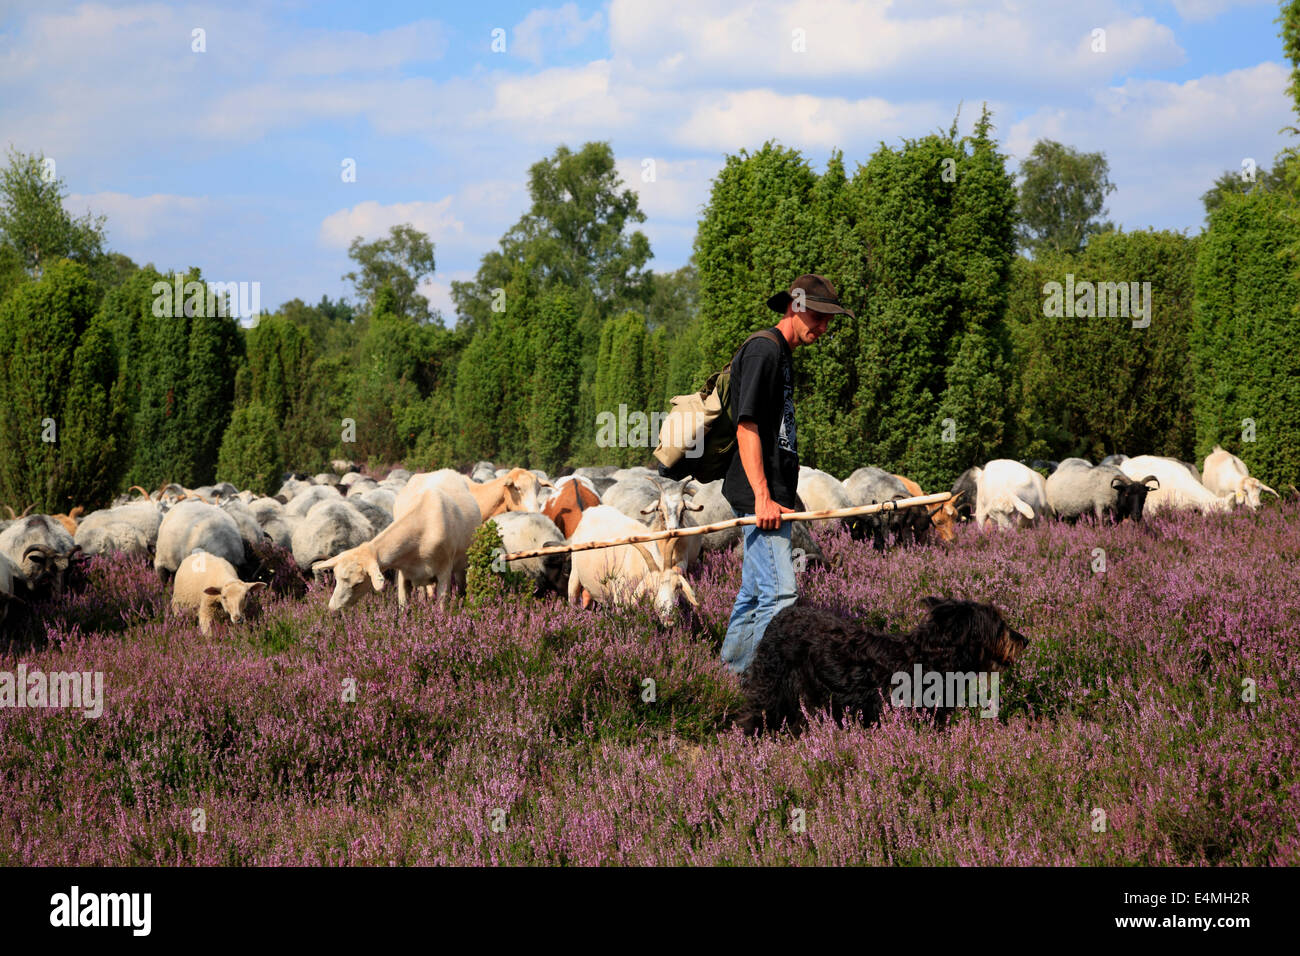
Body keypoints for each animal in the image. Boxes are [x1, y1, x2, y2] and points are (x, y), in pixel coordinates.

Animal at [311, 484, 479, 611]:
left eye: (358, 583)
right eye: (337, 579)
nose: (333, 608)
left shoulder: (444, 573)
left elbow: (441, 606)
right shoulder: (404, 575)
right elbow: (404, 607)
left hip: (461, 566)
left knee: (461, 589)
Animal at [566, 505, 699, 626]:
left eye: (677, 587)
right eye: (652, 590)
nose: (669, 618)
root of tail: (592, 509)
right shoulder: (621, 599)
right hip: (574, 576)